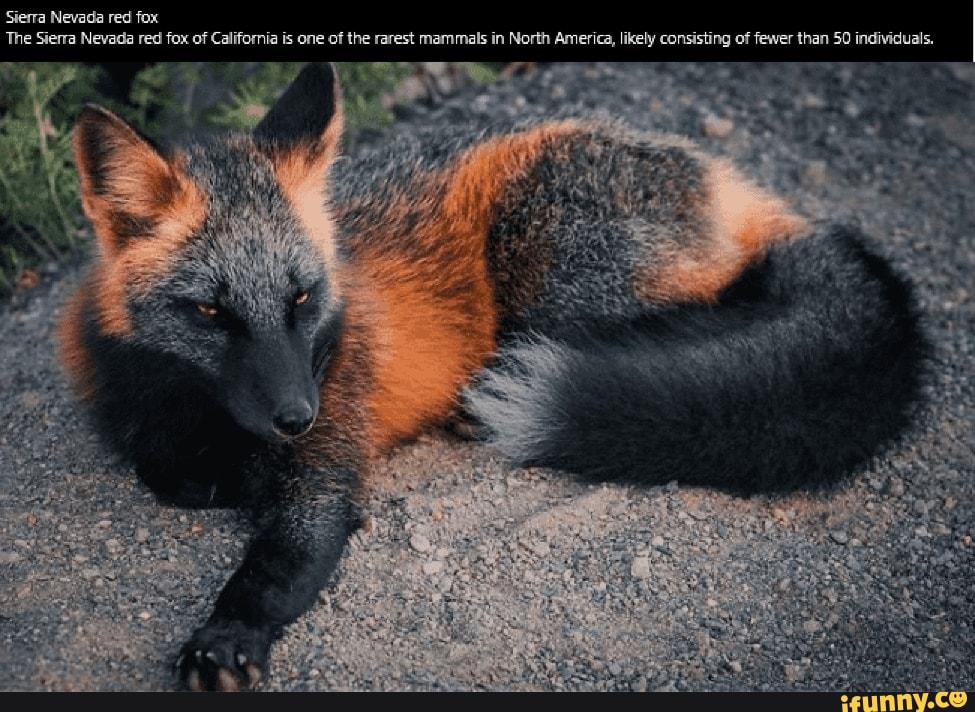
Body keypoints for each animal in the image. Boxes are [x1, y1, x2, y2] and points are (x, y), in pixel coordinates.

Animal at [59, 63, 924, 691]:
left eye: (301, 298)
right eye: (210, 312)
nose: (297, 416)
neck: (201, 414)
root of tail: (725, 178)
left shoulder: (327, 469)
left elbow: (274, 566)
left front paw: (227, 635)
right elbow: (164, 472)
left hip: (551, 272)